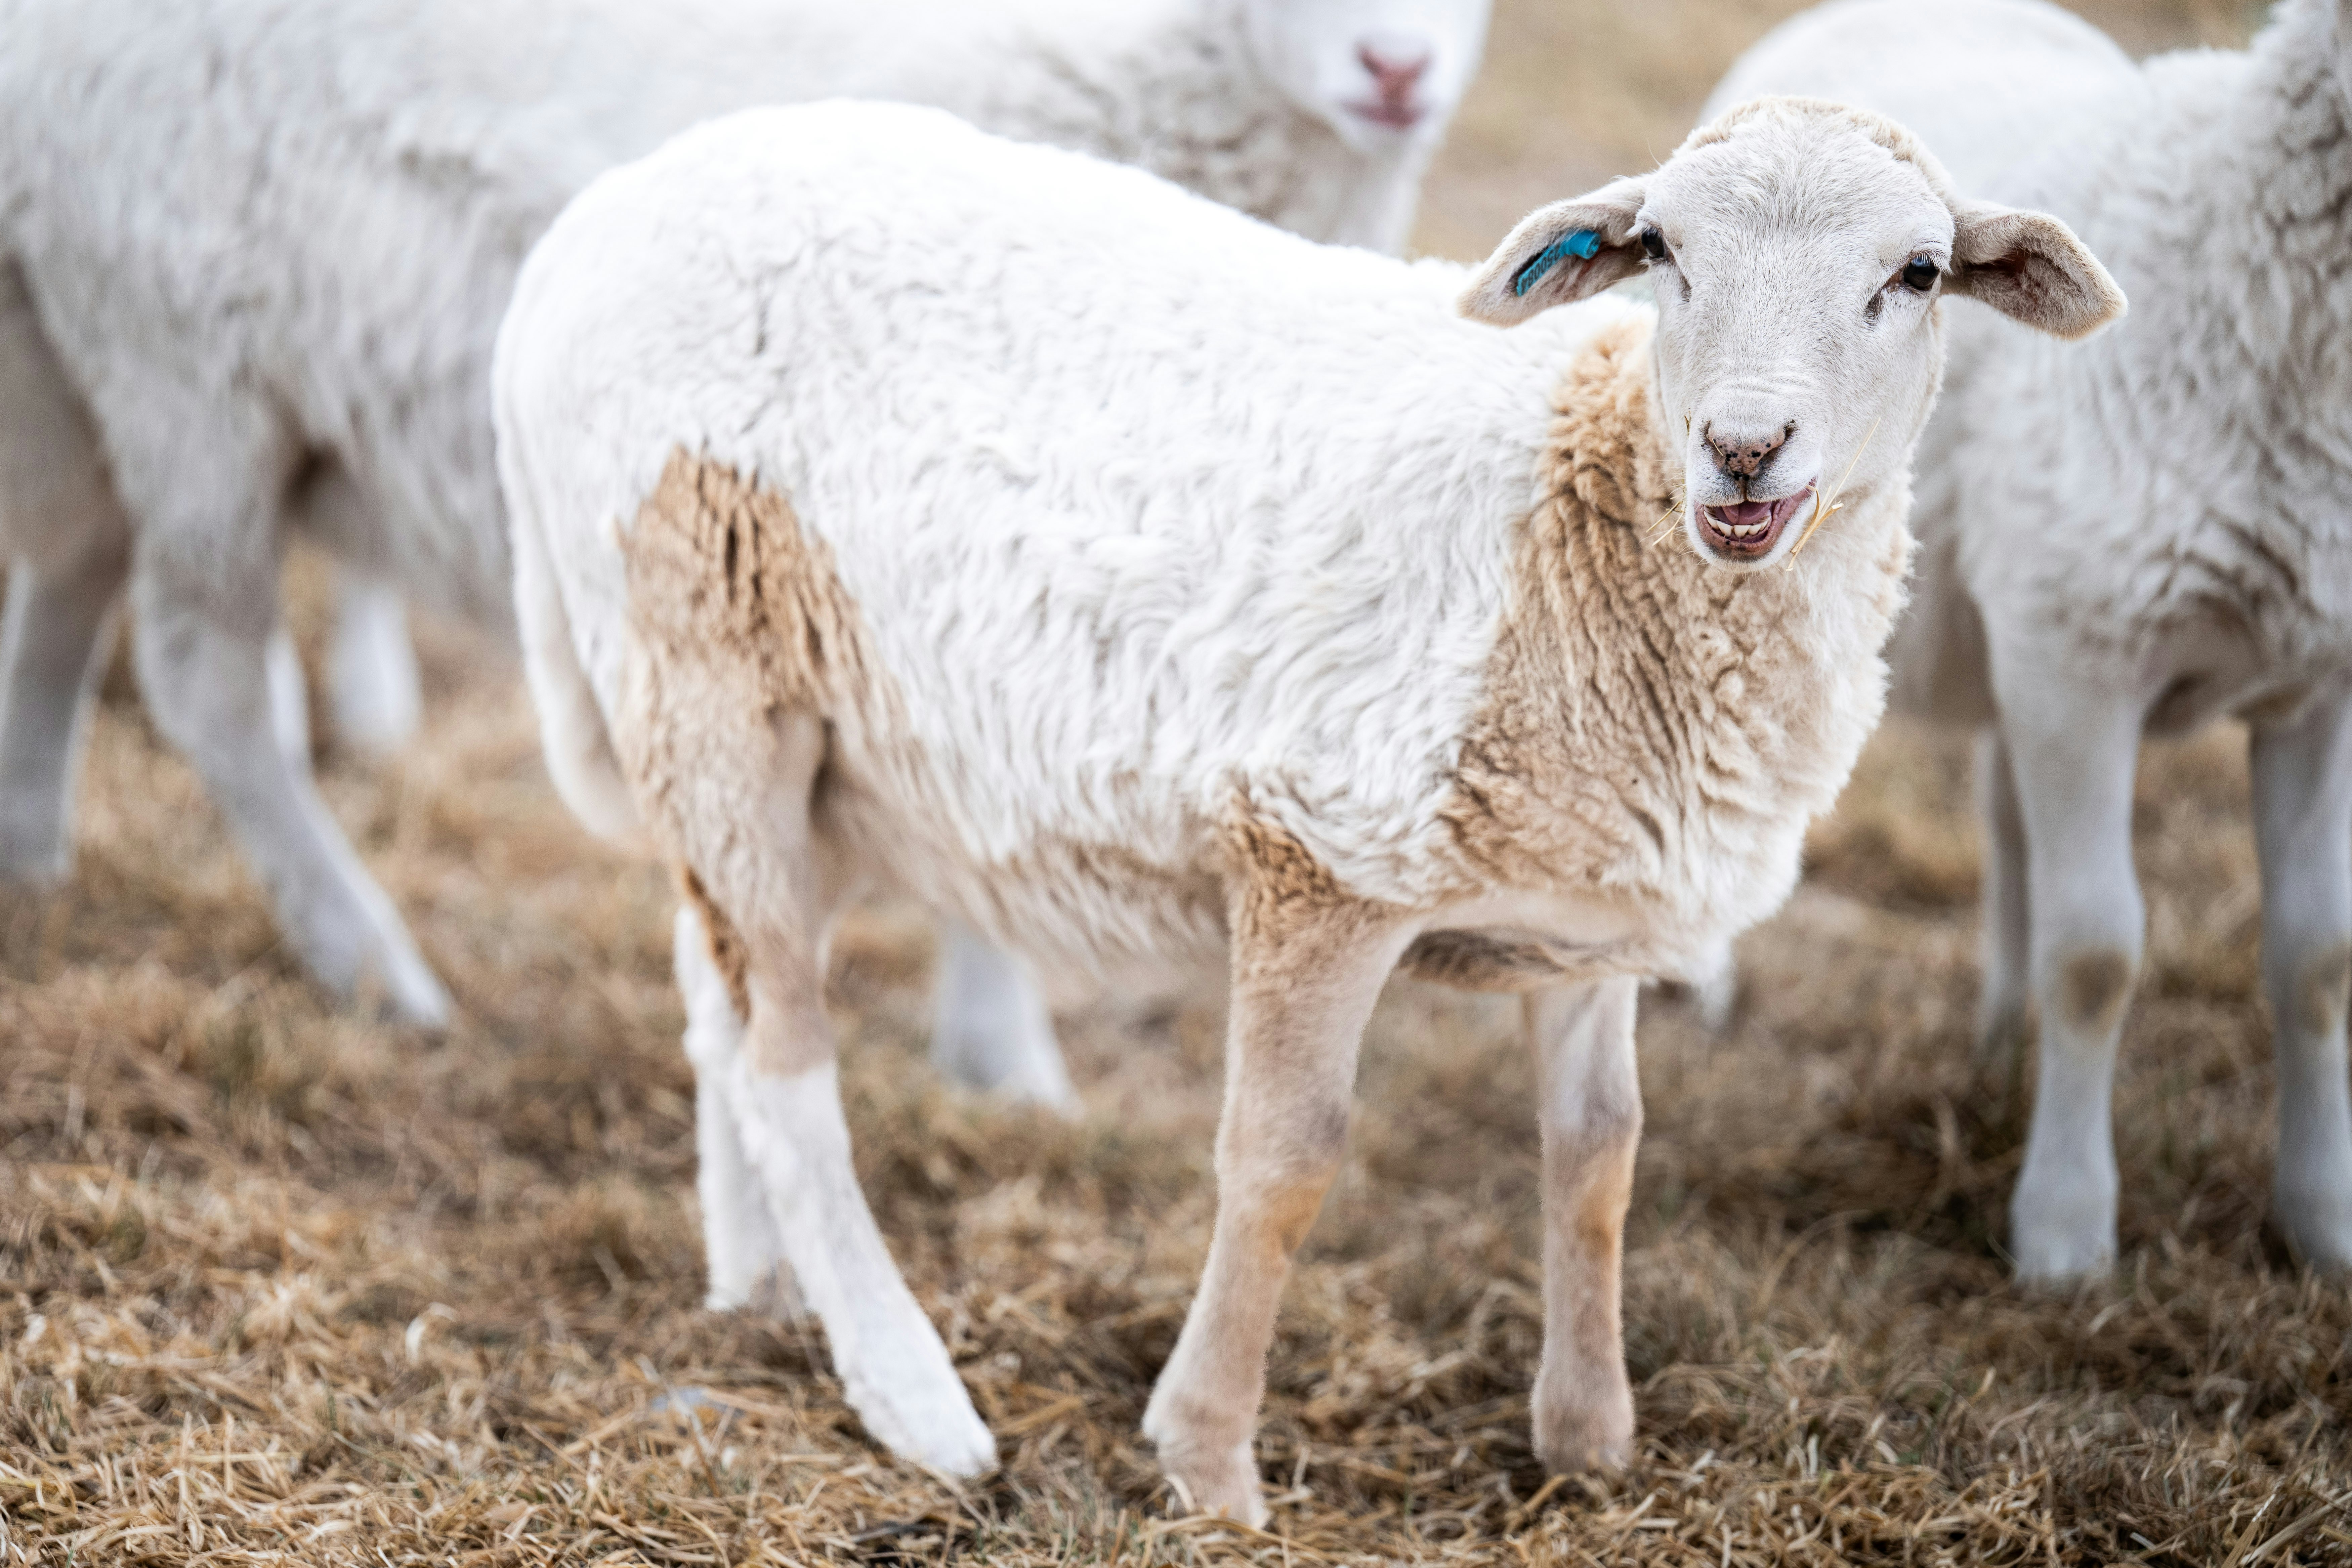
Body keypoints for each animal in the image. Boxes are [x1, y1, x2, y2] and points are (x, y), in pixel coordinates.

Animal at [0, 0, 1491, 1055]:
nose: (1396, 69)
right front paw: (1003, 1063)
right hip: (184, 365)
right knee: (204, 680)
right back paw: (373, 964)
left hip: (84, 370)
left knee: (62, 591)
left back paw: (33, 866)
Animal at [492, 96, 2120, 1507]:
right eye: (1663, 251)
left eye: (1915, 275)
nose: (1740, 451)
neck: (1589, 515)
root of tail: (594, 227)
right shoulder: (1316, 851)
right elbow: (1282, 1165)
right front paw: (1205, 1458)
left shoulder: (1594, 907)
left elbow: (1598, 1157)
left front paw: (1588, 1442)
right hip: (703, 657)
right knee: (784, 1054)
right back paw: (910, 1393)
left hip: (804, 734)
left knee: (719, 1005)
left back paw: (760, 1289)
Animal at [1709, 0, 2352, 1281]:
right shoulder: (2081, 661)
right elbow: (2096, 952)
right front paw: (2065, 1237)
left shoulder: (2309, 681)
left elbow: (2317, 958)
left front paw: (2324, 1225)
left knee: (2007, 831)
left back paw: (2000, 1051)